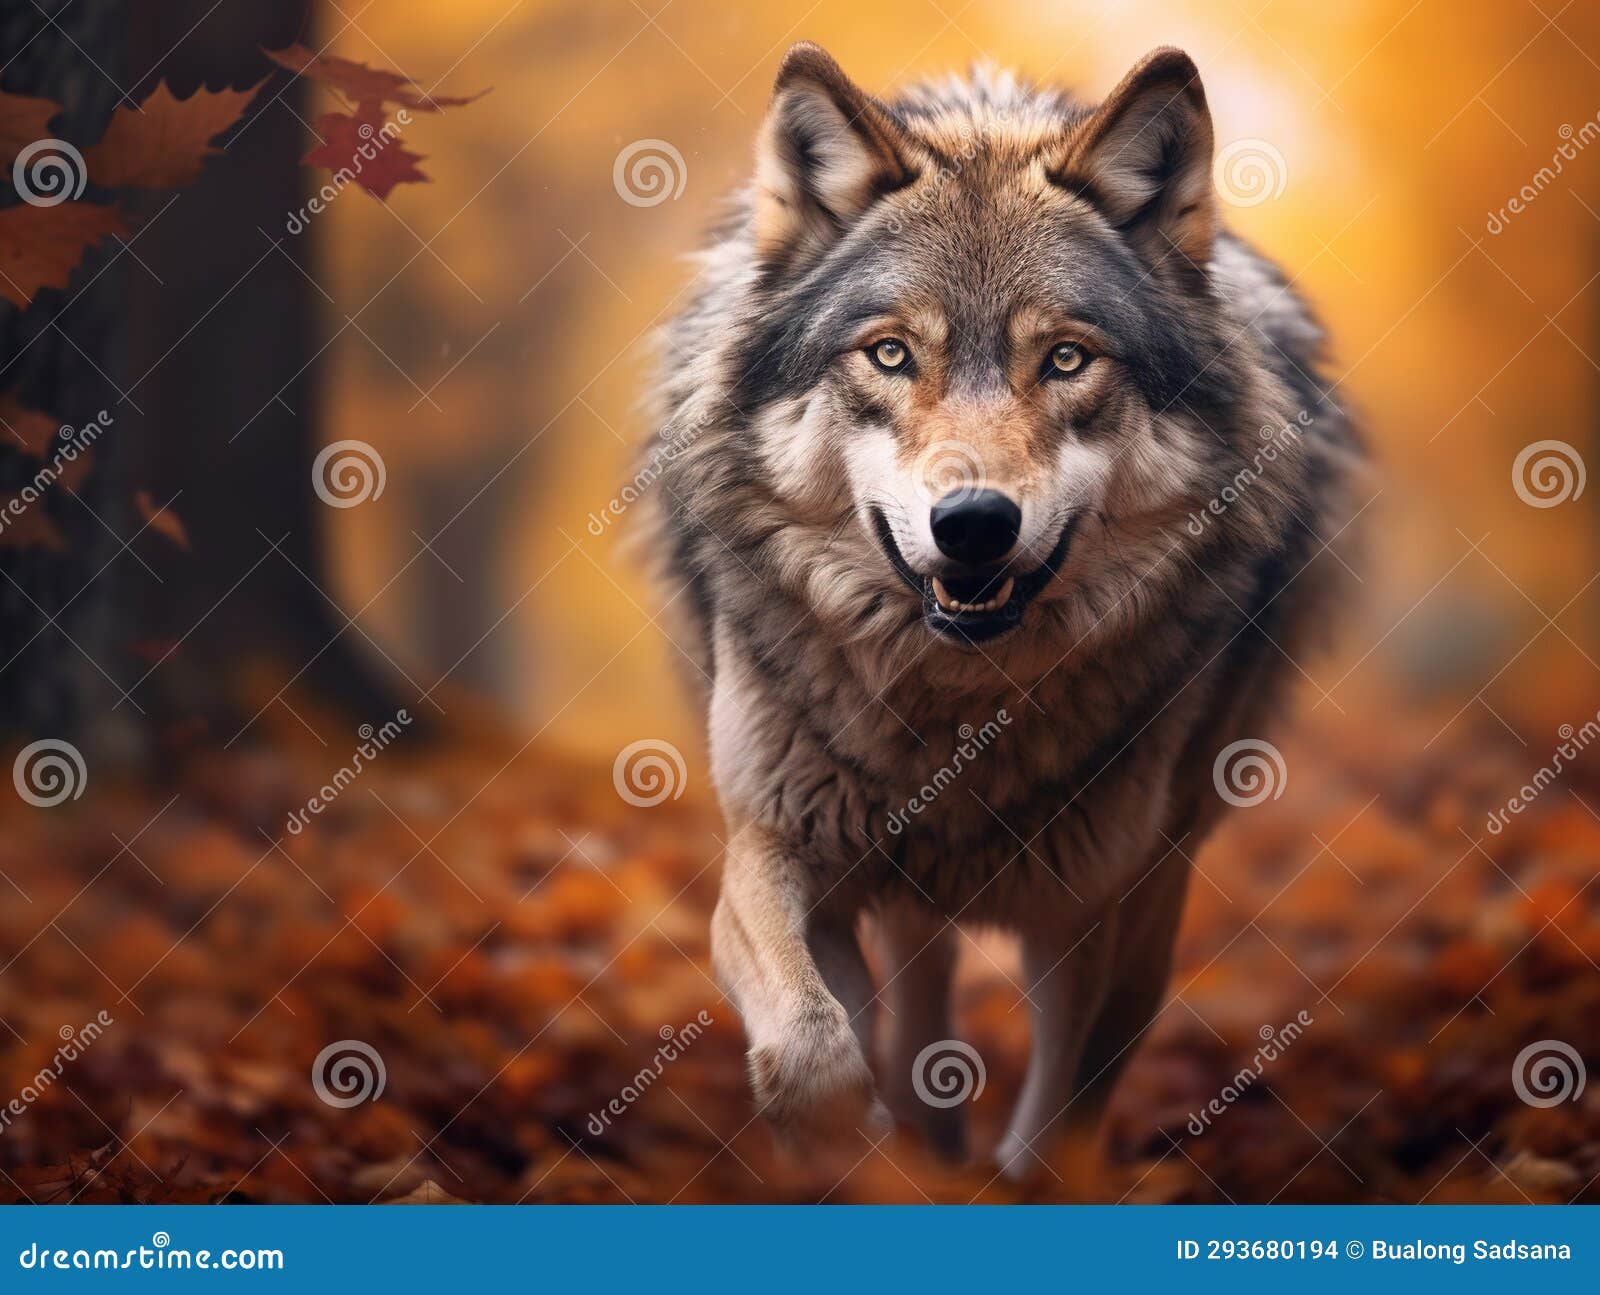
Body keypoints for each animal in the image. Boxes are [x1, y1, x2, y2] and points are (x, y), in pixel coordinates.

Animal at [640, 42, 1363, 1177]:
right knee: (914, 993)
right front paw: (850, 1149)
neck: (953, 719)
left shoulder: (1093, 912)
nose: (973, 522)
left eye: (1065, 358)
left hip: (1162, 866)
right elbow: (816, 1043)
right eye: (890, 354)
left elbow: (1056, 1129)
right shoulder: (774, 848)